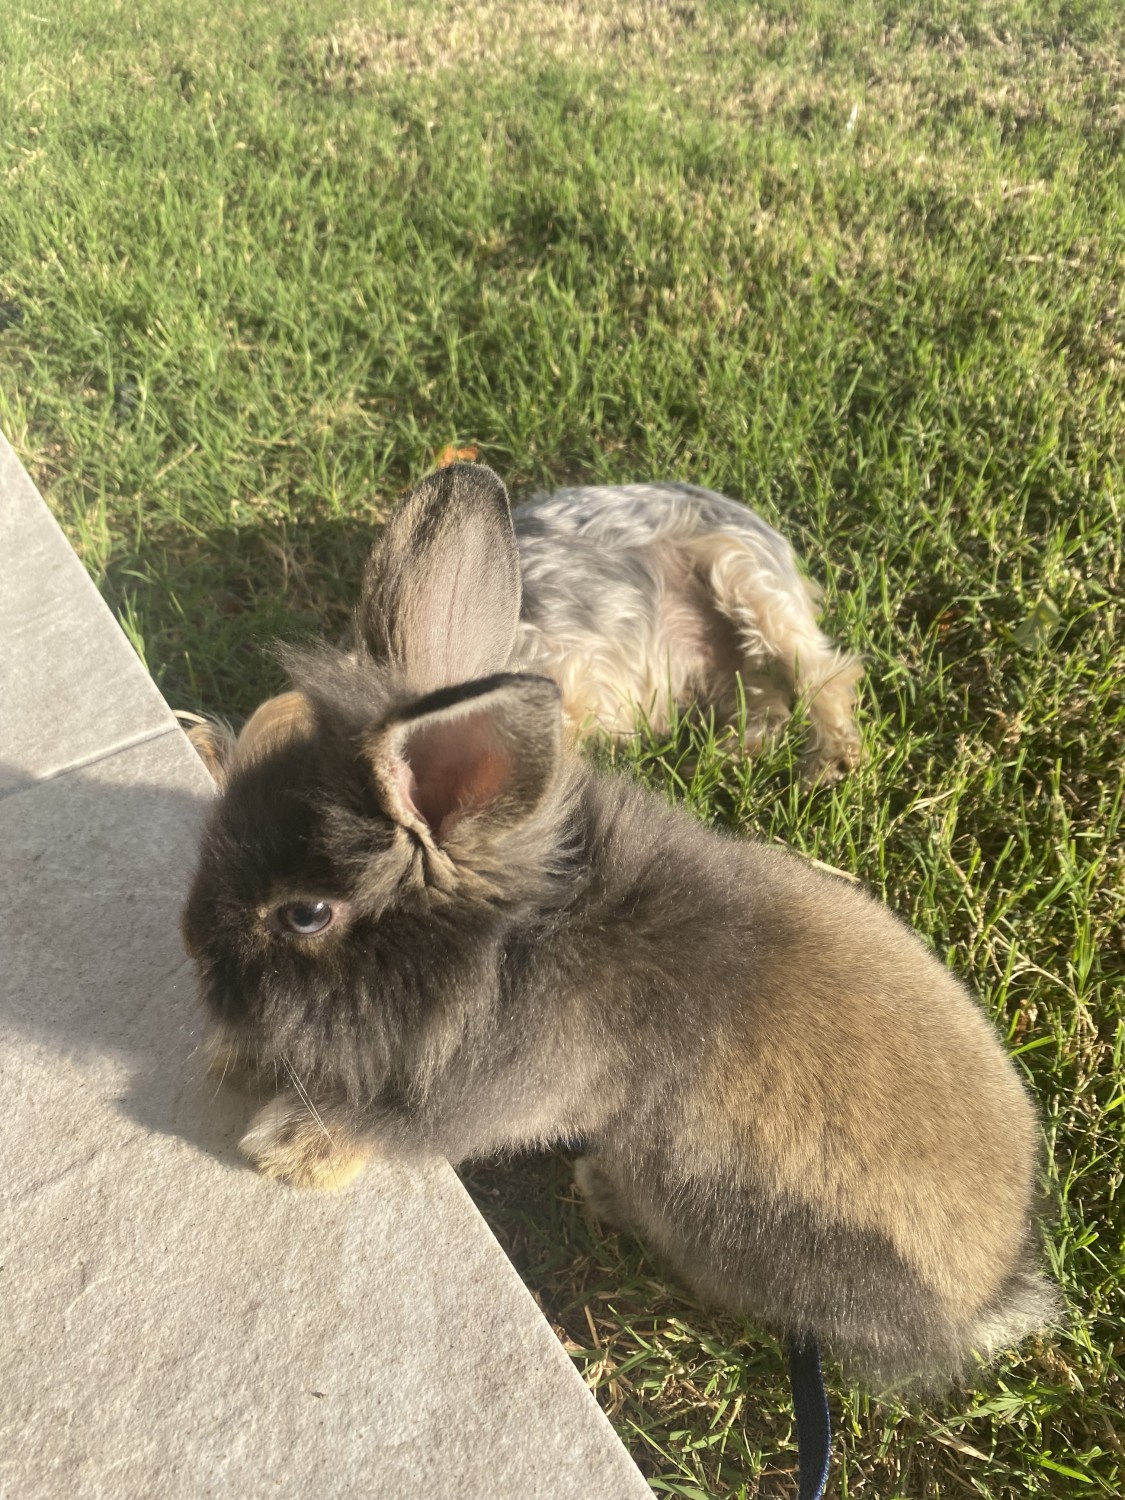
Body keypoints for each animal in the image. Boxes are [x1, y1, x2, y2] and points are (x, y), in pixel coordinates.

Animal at [186, 478, 863, 788]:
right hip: (719, 662)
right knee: (764, 695)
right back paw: (734, 751)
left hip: (743, 571)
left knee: (824, 671)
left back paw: (831, 756)